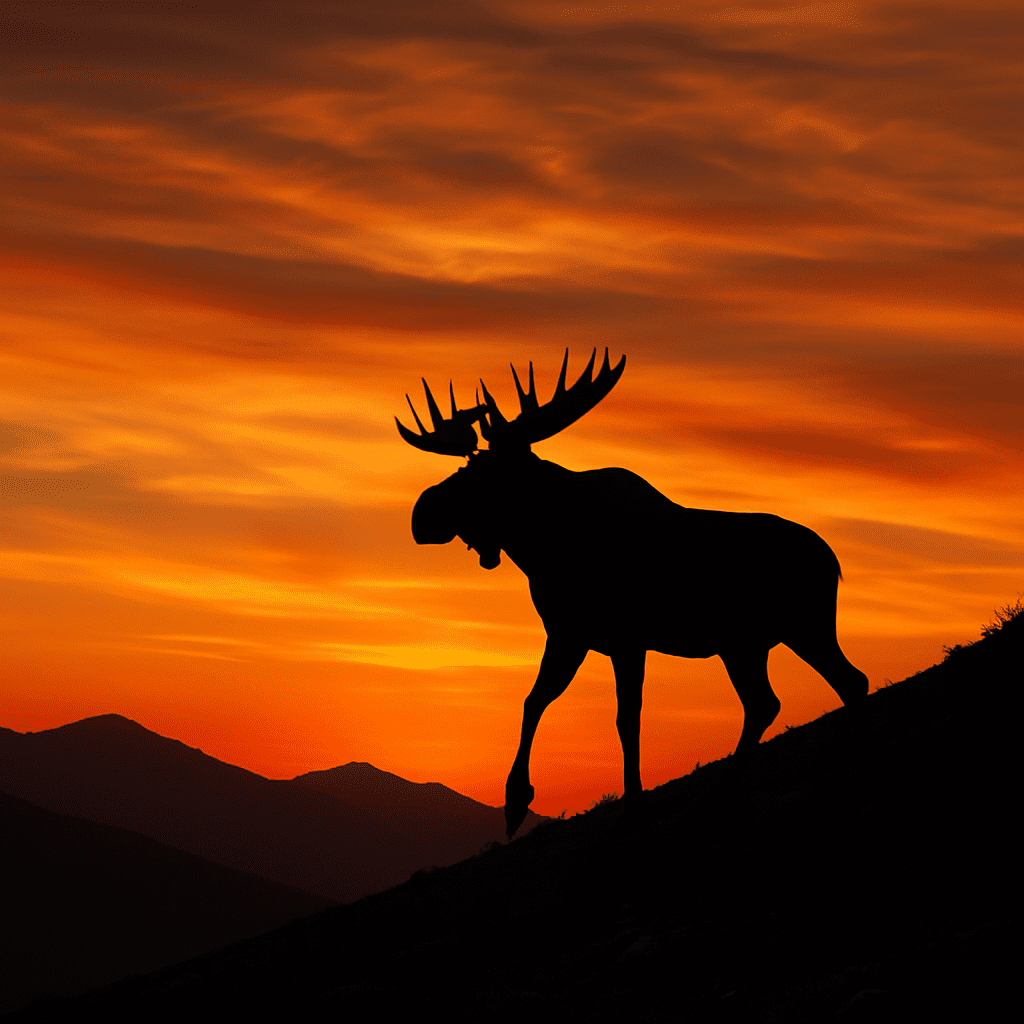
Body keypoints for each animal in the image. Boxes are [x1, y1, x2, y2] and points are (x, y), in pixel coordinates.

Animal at [397, 350, 868, 838]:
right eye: (463, 466)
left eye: (487, 475)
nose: (422, 512)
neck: (545, 546)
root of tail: (832, 560)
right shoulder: (568, 635)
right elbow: (535, 699)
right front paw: (515, 801)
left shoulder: (626, 640)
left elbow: (627, 718)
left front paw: (634, 806)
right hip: (747, 645)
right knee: (777, 699)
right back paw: (726, 797)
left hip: (802, 627)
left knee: (839, 683)